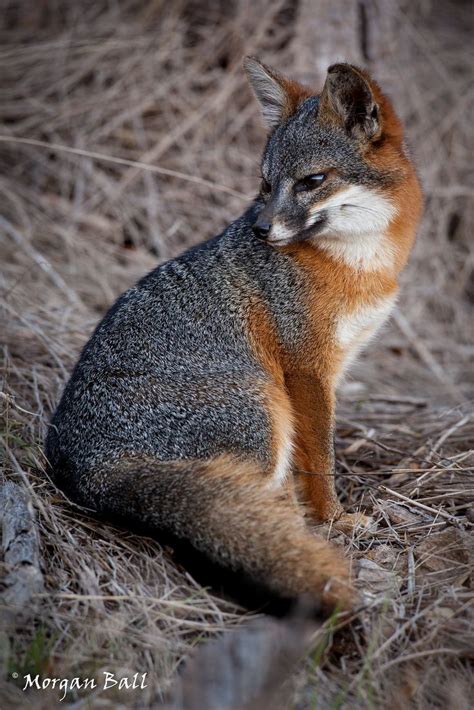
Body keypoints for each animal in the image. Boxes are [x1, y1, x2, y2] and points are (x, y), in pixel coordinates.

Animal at [45, 58, 422, 615]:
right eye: (265, 184)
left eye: (311, 181)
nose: (262, 228)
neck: (360, 263)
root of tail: (91, 469)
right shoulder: (307, 371)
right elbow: (320, 461)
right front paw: (333, 519)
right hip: (264, 408)